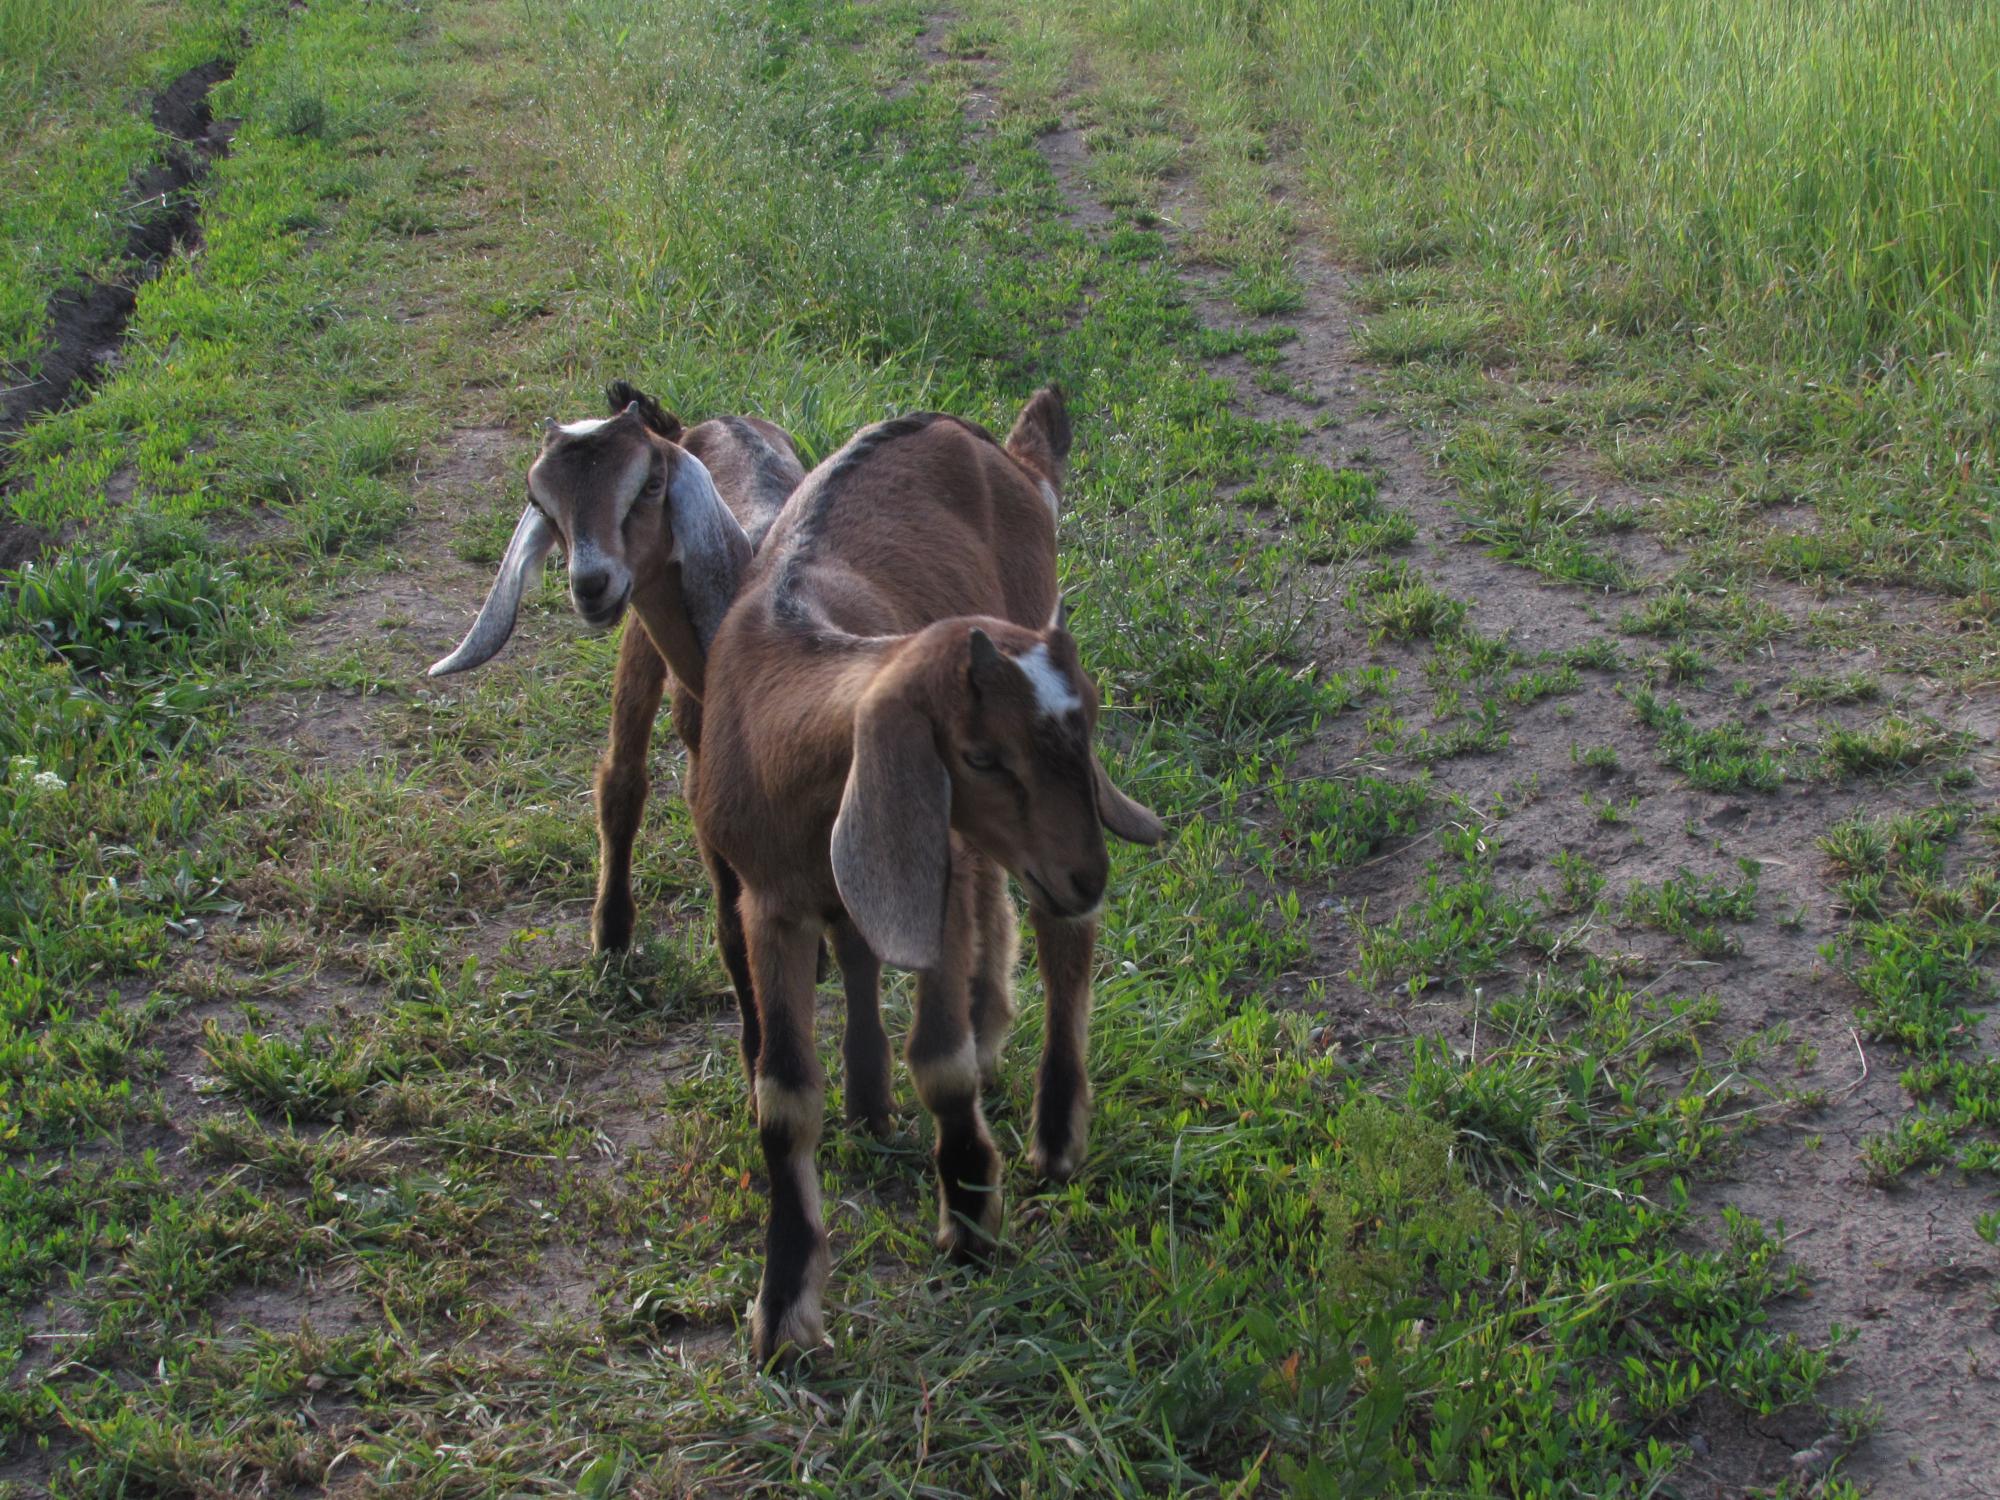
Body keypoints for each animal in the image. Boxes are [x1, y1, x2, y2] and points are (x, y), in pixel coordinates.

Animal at [688, 390, 1168, 1376]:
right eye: (981, 755)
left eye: (1088, 734)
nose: (1090, 871)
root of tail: (995, 444)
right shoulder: (770, 901)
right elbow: (782, 1097)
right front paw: (783, 1309)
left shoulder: (931, 882)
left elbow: (936, 1064)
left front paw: (972, 1218)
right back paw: (999, 1022)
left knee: (1062, 943)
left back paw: (1053, 1135)